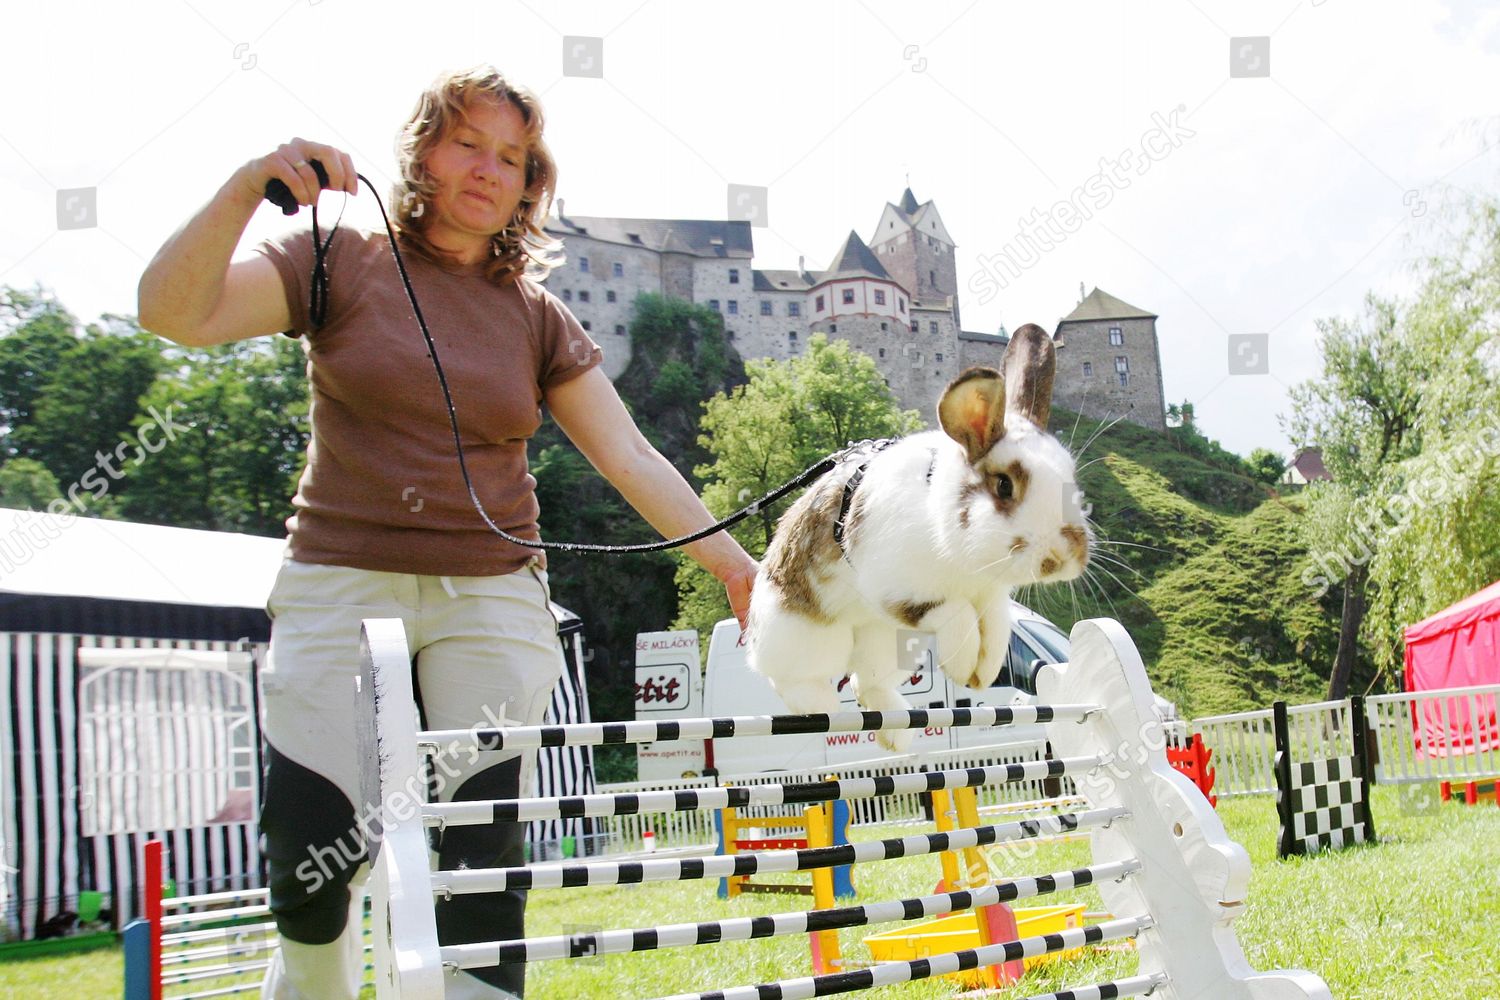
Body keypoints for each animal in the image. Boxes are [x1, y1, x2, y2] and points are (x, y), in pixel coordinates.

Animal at [745, 323, 1090, 753]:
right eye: (1004, 486)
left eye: (1071, 478)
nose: (1066, 556)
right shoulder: (899, 590)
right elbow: (955, 613)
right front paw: (963, 665)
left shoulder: (991, 596)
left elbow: (996, 627)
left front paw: (983, 671)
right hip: (809, 639)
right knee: (785, 677)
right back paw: (824, 707)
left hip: (891, 647)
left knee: (865, 683)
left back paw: (896, 734)